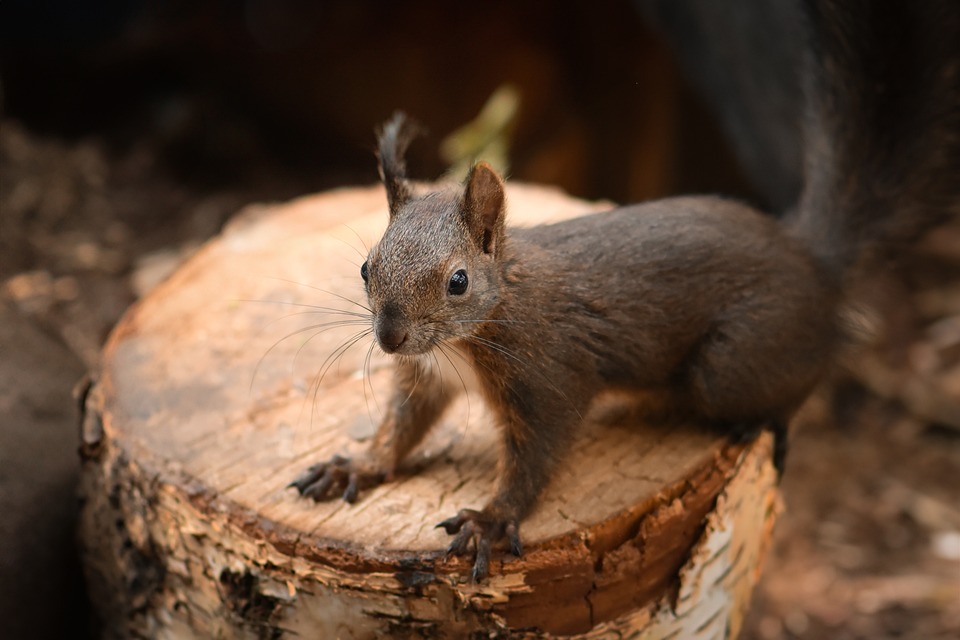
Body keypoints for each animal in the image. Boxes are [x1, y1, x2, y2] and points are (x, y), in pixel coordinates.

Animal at [290, 0, 960, 581]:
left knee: (802, 375)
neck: (479, 328)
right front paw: (360, 465)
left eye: (458, 281)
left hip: (731, 363)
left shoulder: (551, 374)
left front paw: (492, 519)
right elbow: (402, 426)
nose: (390, 337)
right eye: (365, 268)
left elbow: (537, 453)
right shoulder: (427, 377)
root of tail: (810, 256)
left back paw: (765, 419)